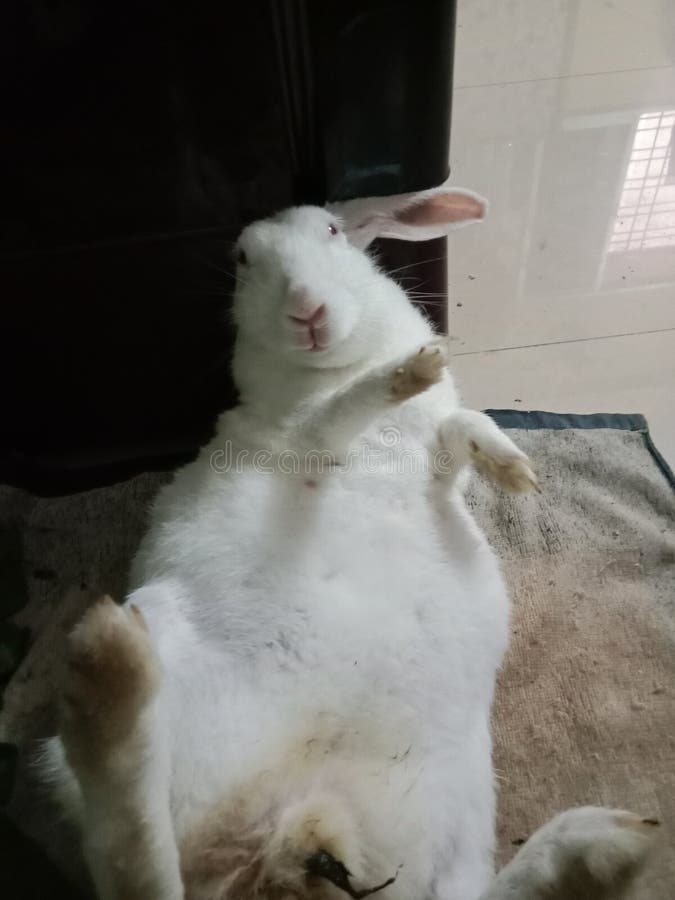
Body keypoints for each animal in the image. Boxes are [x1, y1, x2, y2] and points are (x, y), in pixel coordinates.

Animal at [39, 185, 658, 900]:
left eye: (333, 232)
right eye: (244, 259)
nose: (306, 309)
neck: (331, 368)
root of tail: (276, 847)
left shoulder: (437, 467)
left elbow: (462, 425)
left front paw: (512, 469)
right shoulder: (308, 440)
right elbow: (334, 417)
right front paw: (407, 372)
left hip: (456, 835)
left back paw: (603, 843)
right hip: (148, 681)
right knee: (129, 844)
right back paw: (107, 670)